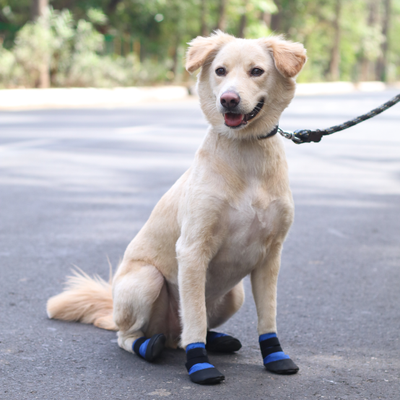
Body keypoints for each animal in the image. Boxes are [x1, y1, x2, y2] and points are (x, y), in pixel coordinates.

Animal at [48, 31, 308, 384]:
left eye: (256, 71)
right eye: (220, 71)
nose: (228, 99)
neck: (247, 157)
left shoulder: (271, 255)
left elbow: (267, 316)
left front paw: (275, 357)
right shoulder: (193, 249)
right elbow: (195, 316)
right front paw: (199, 365)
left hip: (235, 295)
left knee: (192, 327)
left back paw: (216, 340)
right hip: (146, 281)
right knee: (132, 336)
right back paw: (152, 346)